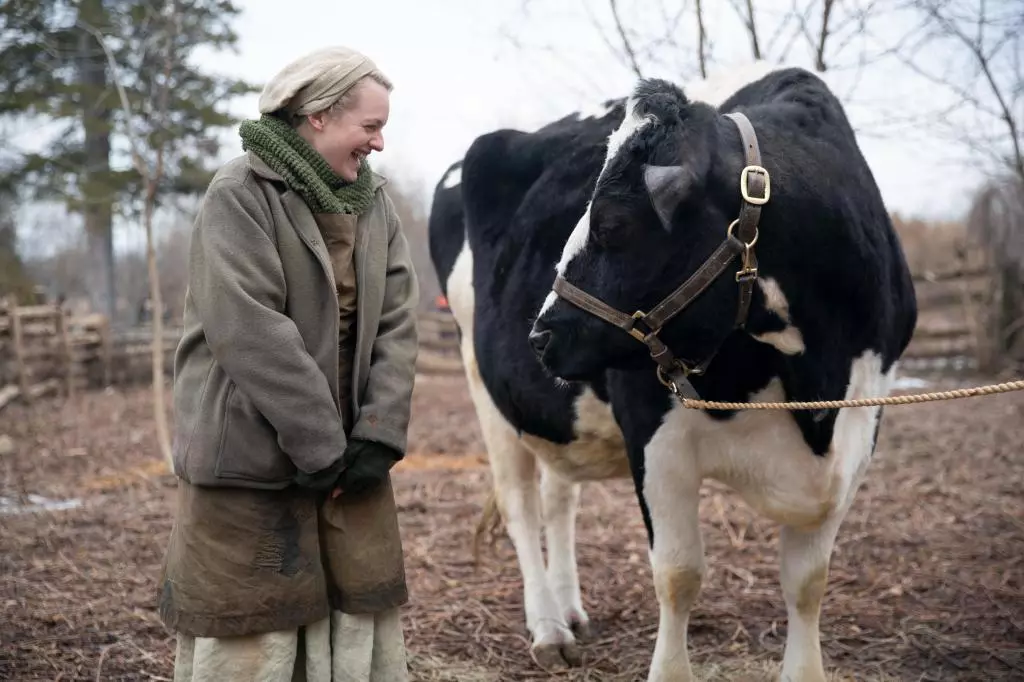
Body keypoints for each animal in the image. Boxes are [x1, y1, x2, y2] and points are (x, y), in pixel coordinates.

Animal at [428, 61, 917, 675]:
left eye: (612, 224)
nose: (539, 335)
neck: (814, 394)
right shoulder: (654, 431)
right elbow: (679, 574)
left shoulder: (859, 424)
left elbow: (808, 583)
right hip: (484, 384)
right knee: (520, 504)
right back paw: (547, 628)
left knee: (560, 497)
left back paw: (569, 610)